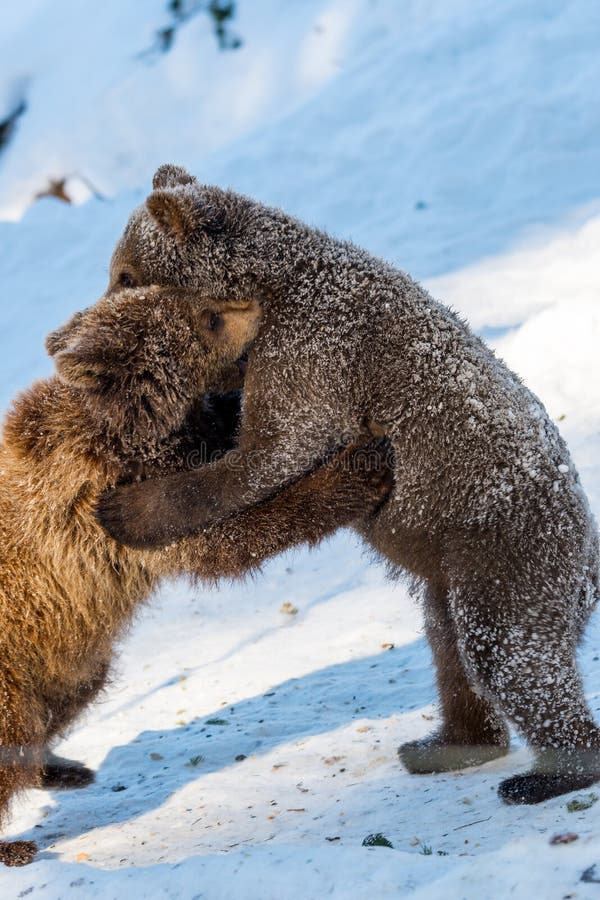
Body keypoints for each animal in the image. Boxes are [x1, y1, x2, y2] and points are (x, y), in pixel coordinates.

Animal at [0, 284, 390, 866]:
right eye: (208, 318)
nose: (256, 308)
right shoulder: (105, 497)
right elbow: (225, 538)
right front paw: (356, 469)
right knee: (16, 733)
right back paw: (18, 843)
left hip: (63, 656)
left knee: (68, 699)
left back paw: (63, 769)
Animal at [96, 164, 600, 806]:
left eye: (124, 272)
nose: (96, 314)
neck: (271, 287)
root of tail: (589, 563)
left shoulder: (312, 354)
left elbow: (271, 453)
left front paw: (126, 508)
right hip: (451, 570)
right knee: (450, 649)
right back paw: (443, 746)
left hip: (505, 545)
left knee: (508, 651)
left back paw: (547, 774)